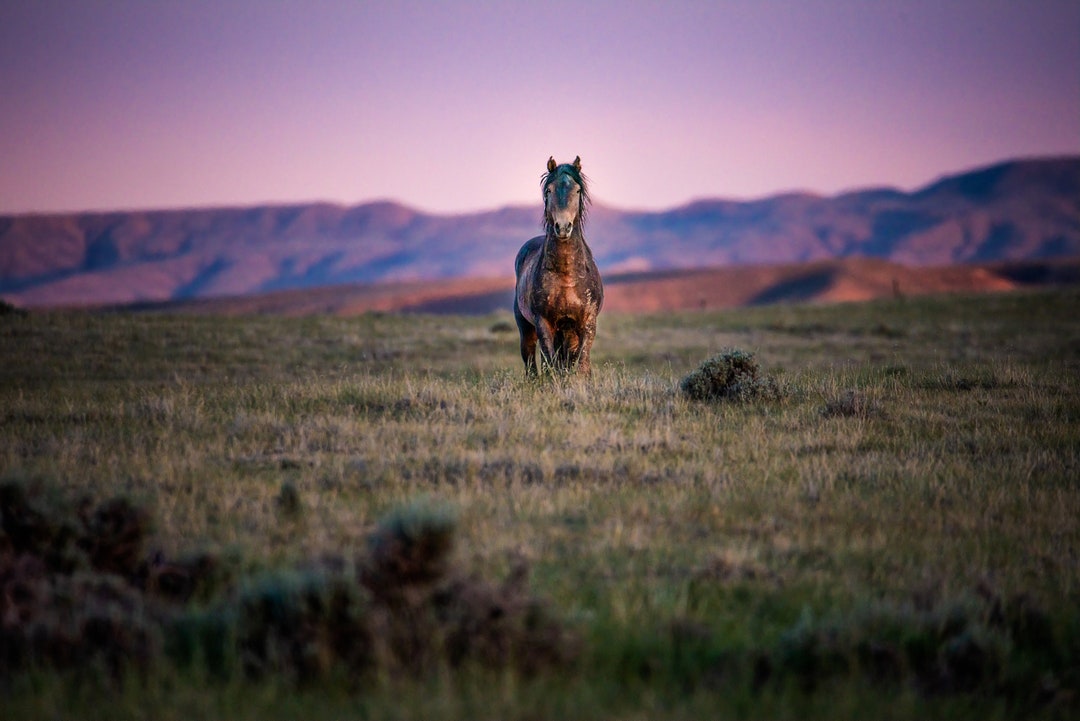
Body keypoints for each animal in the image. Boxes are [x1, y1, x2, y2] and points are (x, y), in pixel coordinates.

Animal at [513, 156, 604, 376]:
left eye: (577, 190)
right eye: (549, 190)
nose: (563, 227)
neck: (566, 275)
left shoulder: (587, 323)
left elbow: (582, 363)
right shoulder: (543, 323)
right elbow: (551, 363)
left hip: (568, 332)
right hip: (527, 329)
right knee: (532, 362)